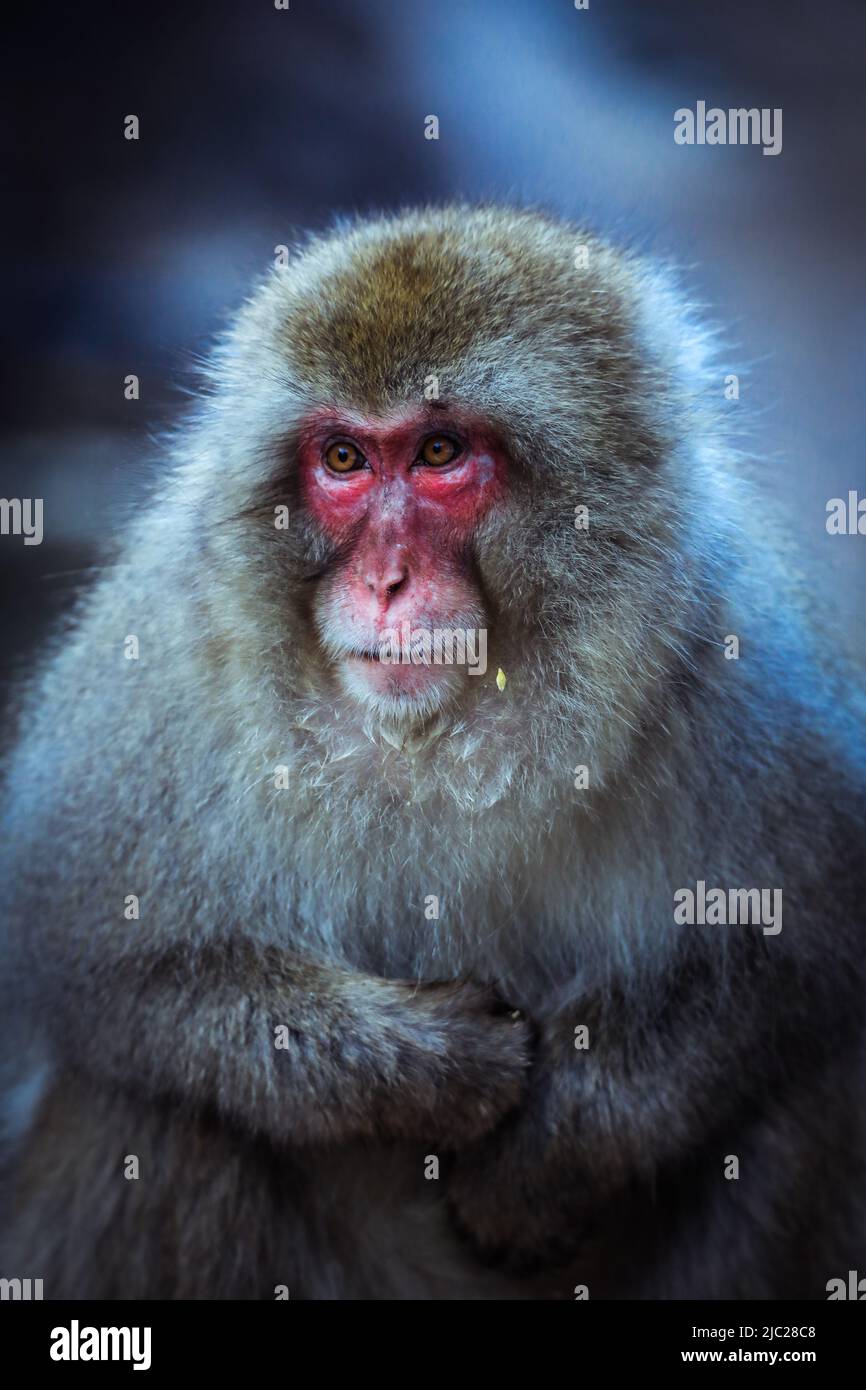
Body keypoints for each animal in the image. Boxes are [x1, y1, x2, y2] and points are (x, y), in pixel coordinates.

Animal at [0, 205, 864, 1301]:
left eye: (440, 451)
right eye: (341, 460)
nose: (387, 583)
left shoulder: (740, 659)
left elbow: (792, 962)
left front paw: (547, 1156)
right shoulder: (165, 658)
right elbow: (100, 967)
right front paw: (430, 1065)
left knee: (813, 1087)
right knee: (157, 1107)